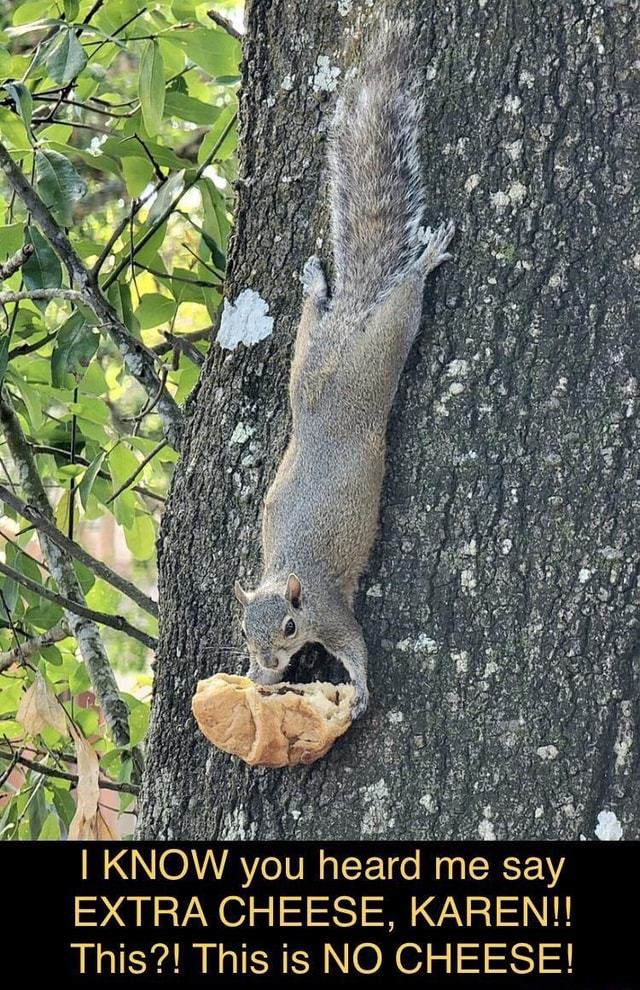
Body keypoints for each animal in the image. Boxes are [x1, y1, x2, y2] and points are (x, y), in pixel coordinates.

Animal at [233, 23, 454, 720]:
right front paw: (258, 684)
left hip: (378, 355)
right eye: (244, 630)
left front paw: (357, 693)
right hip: (306, 365)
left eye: (289, 627)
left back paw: (423, 262)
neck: (289, 577)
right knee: (312, 328)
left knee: (402, 306)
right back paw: (314, 285)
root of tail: (351, 321)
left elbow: (355, 646)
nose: (267, 663)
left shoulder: (330, 611)